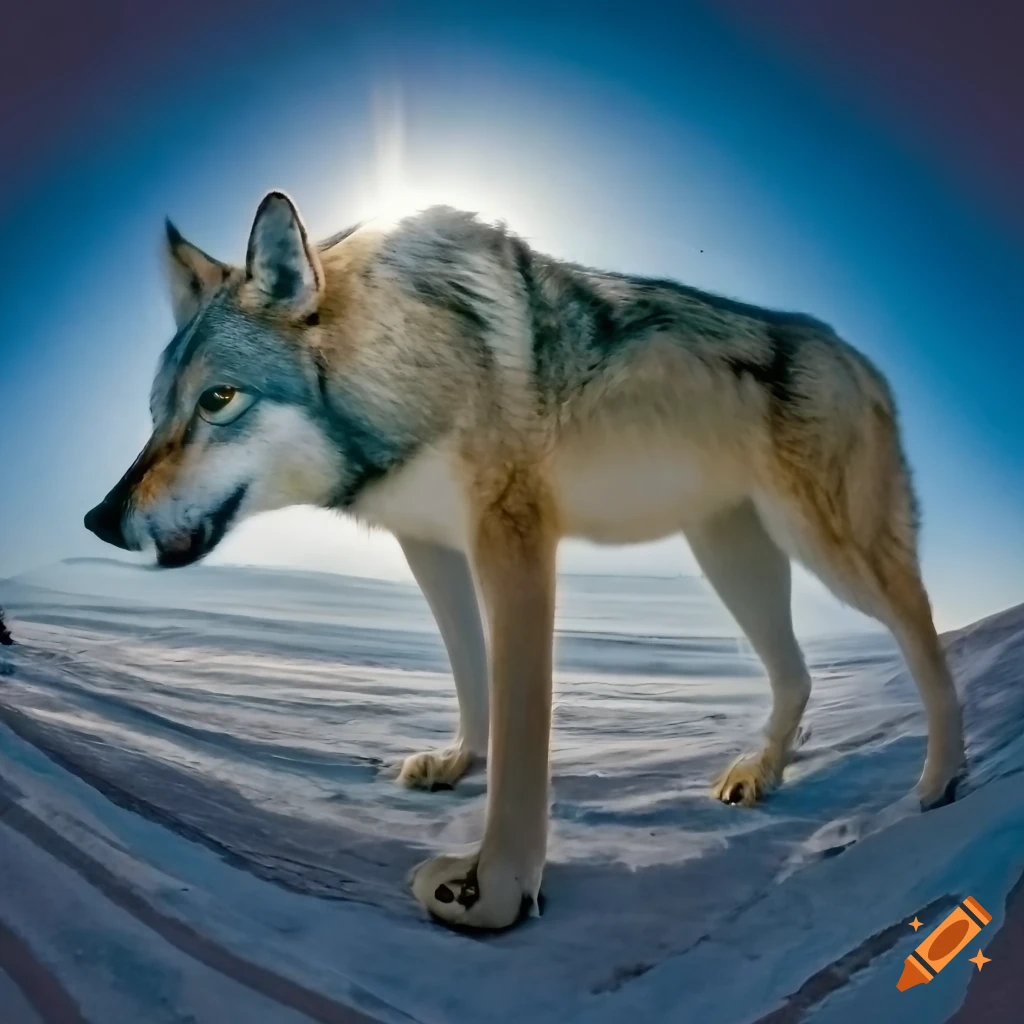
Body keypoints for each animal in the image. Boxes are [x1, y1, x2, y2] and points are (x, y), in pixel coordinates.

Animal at [85, 191, 966, 930]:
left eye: (220, 400)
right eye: (158, 412)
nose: (100, 520)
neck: (406, 362)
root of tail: (857, 353)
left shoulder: (514, 541)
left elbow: (522, 729)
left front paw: (495, 889)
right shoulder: (430, 547)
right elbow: (470, 672)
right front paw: (457, 762)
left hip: (827, 547)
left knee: (922, 631)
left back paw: (944, 779)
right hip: (731, 558)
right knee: (799, 673)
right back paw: (763, 774)